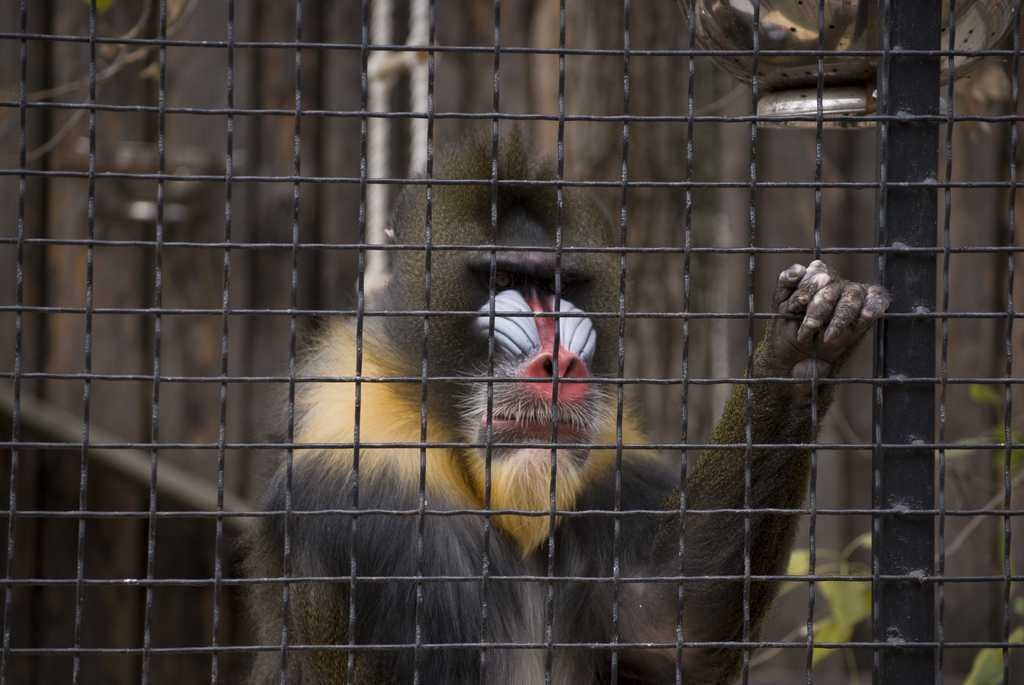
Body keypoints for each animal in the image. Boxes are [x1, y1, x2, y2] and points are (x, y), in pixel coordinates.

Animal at [241, 130, 890, 685]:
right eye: (501, 279)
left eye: (560, 287)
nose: (559, 363)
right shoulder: (361, 499)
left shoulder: (614, 475)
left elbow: (667, 628)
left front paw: (803, 340)